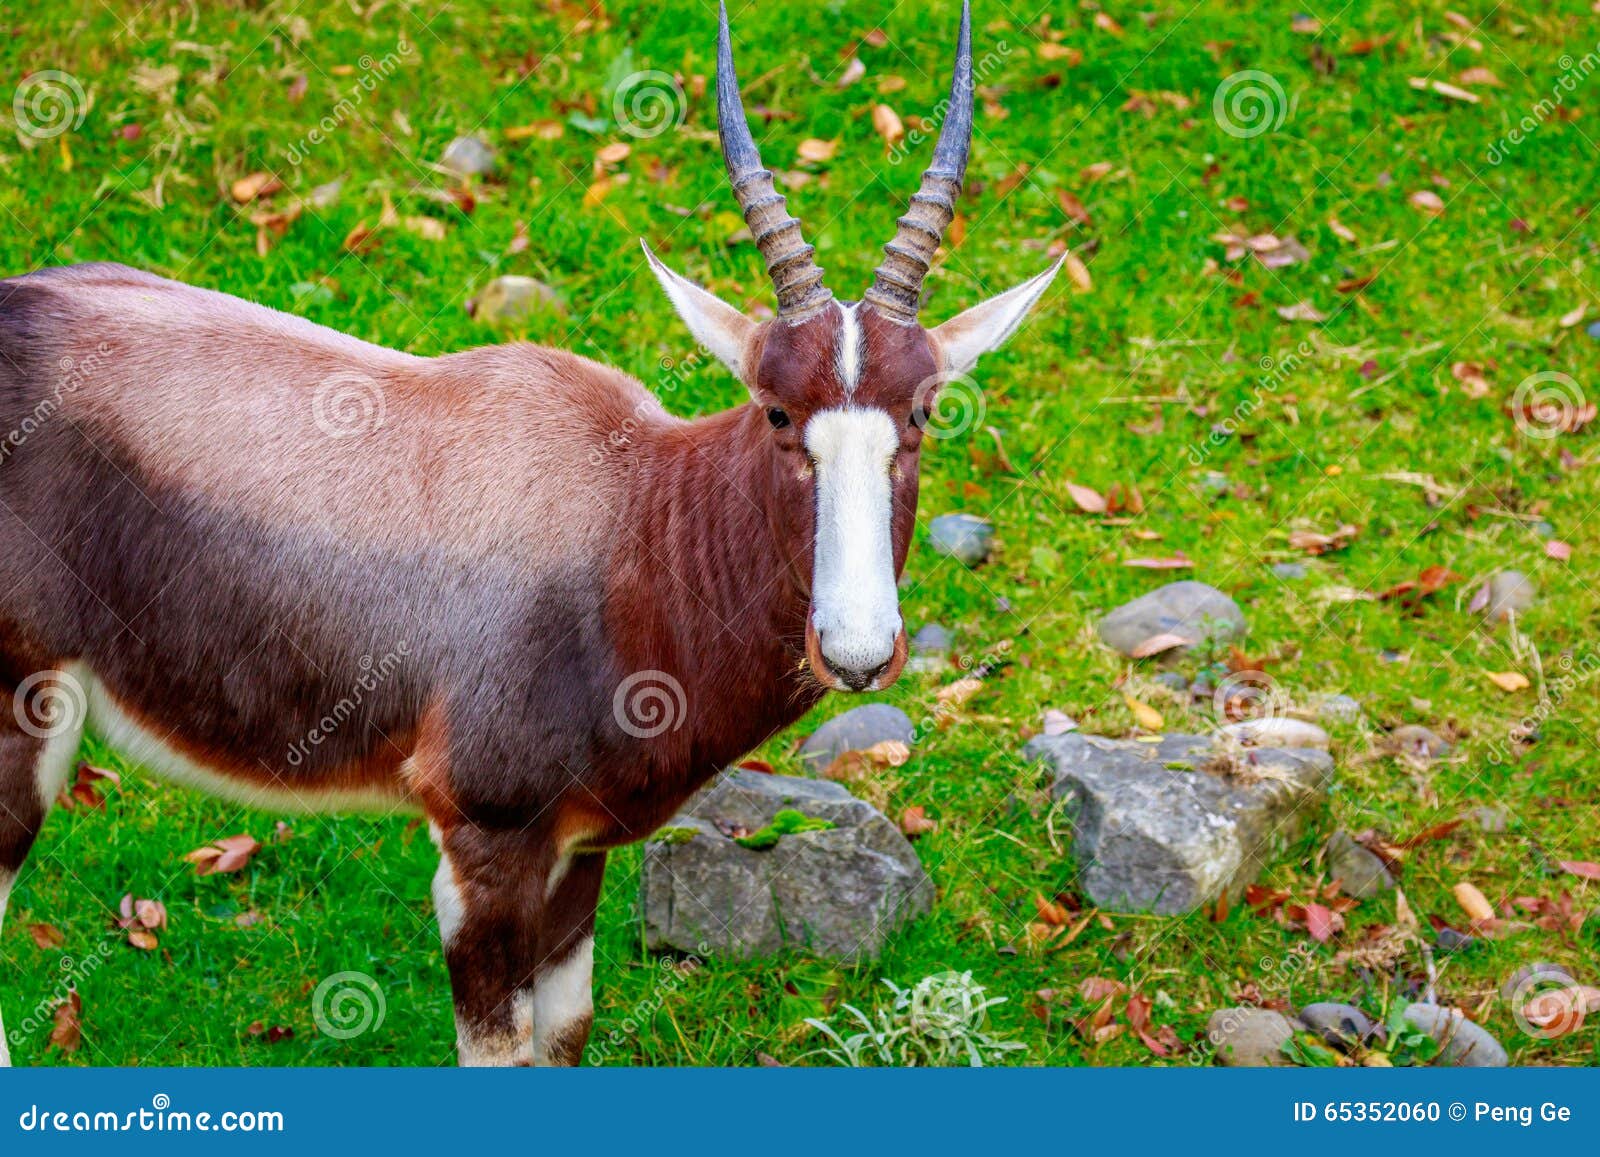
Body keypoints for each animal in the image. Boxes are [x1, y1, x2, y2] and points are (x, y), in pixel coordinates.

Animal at [0, 2, 1060, 1066]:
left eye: (922, 411)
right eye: (775, 410)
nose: (857, 650)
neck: (626, 510)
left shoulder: (576, 857)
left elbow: (566, 1038)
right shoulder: (486, 849)